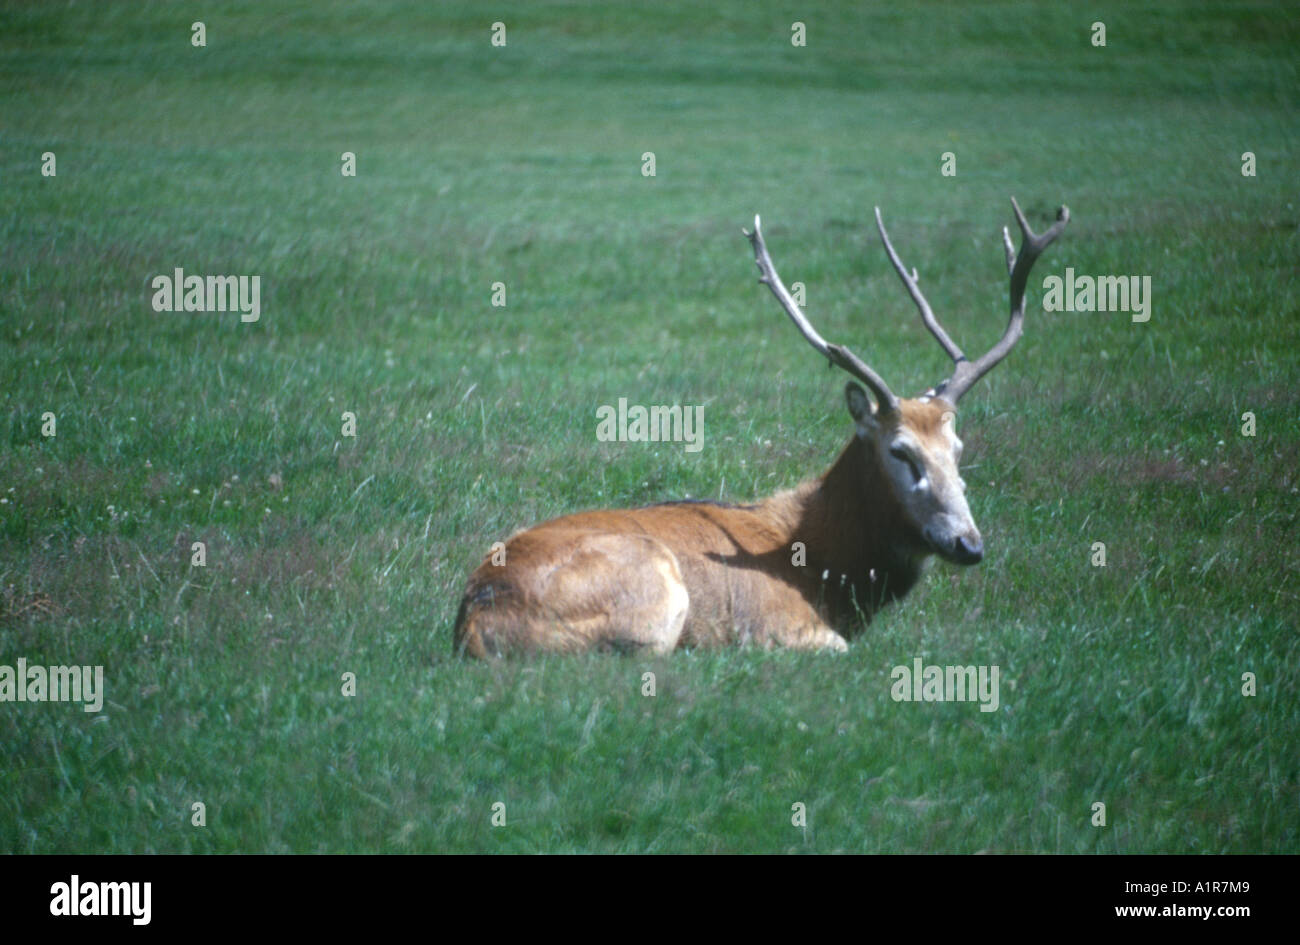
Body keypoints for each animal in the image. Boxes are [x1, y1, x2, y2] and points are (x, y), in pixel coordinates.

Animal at [453, 198, 1069, 657]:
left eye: (957, 447)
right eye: (901, 451)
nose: (968, 543)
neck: (826, 565)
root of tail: (470, 623)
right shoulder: (784, 627)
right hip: (656, 586)